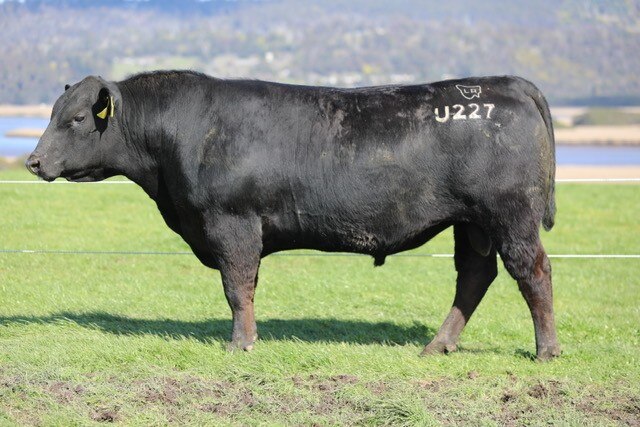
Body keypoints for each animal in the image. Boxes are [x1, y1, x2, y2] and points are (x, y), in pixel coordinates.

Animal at [26, 71, 560, 360]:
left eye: (76, 118)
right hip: (471, 223)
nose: (33, 162)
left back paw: (546, 350)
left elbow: (237, 286)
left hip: (510, 214)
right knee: (475, 276)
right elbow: (246, 288)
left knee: (533, 271)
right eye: (53, 112)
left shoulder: (231, 223)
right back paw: (438, 345)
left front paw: (240, 345)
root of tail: (503, 83)